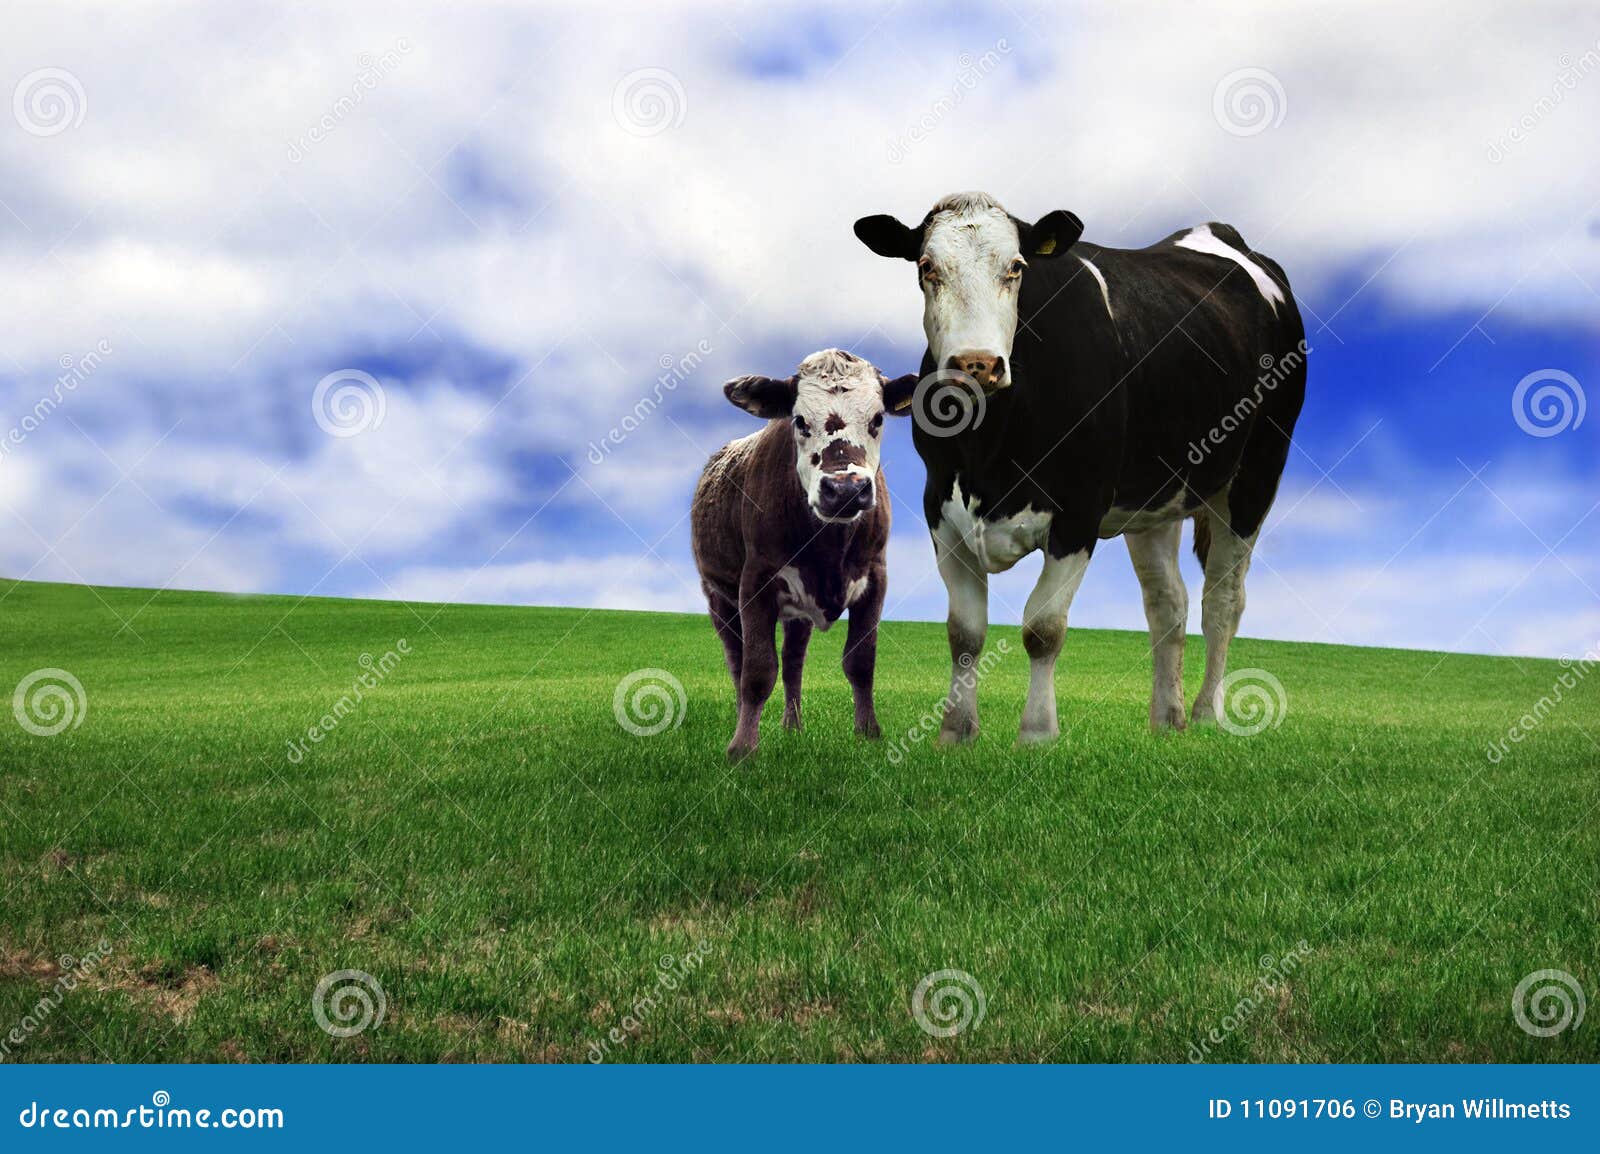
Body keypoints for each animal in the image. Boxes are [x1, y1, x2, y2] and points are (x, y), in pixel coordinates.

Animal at [693, 349, 918, 759]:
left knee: (793, 662)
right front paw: (742, 747)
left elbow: (861, 661)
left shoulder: (875, 578)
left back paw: (793, 727)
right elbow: (757, 670)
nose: (845, 489)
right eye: (799, 420)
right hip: (718, 597)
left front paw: (868, 733)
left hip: (797, 615)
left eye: (877, 419)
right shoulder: (756, 581)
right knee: (737, 659)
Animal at [853, 191, 1307, 743]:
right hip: (1155, 497)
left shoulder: (1080, 511)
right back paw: (1167, 719)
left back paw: (1205, 714)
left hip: (1257, 473)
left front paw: (1037, 733)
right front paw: (956, 732)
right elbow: (965, 631)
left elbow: (1043, 628)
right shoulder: (940, 506)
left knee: (1222, 602)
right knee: (1168, 603)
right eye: (926, 267)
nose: (977, 364)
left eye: (1016, 267)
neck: (988, 453)